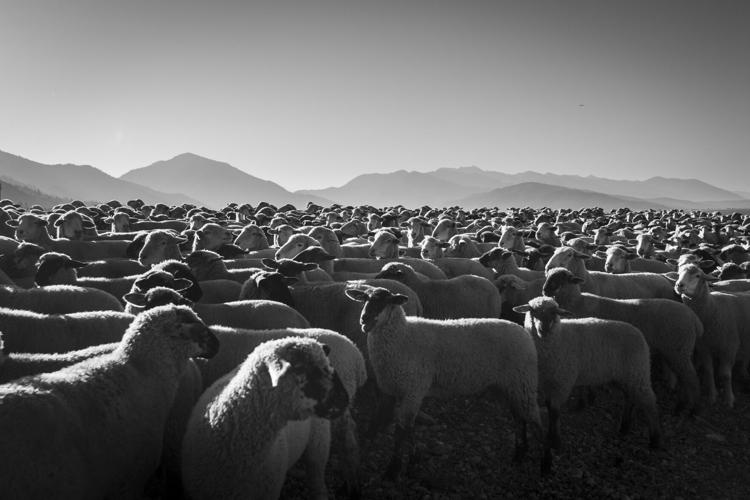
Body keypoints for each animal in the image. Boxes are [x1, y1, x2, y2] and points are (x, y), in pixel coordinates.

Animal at [345, 285, 543, 477]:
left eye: (386, 302)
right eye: (365, 299)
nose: (364, 318)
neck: (403, 335)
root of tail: (524, 333)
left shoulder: (413, 389)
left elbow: (402, 430)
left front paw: (394, 469)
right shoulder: (394, 390)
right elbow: (408, 429)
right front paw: (412, 460)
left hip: (523, 381)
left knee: (535, 421)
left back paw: (544, 463)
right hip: (508, 386)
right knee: (519, 418)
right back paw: (519, 455)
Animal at [513, 297, 661, 469]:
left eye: (554, 313)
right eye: (533, 311)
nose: (543, 329)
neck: (557, 339)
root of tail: (639, 333)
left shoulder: (562, 383)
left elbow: (554, 412)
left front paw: (556, 441)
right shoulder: (546, 383)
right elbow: (549, 408)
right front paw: (551, 437)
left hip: (638, 372)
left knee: (650, 402)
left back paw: (655, 440)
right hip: (624, 377)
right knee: (630, 398)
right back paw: (624, 427)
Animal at [542, 267, 702, 412]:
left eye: (560, 279)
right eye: (548, 276)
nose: (545, 291)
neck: (576, 302)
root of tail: (694, 318)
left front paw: (584, 401)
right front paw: (591, 396)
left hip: (679, 350)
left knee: (692, 378)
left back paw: (692, 409)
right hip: (675, 351)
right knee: (685, 378)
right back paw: (681, 403)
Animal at [672, 263, 750, 408]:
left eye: (697, 275)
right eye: (679, 273)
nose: (679, 285)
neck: (713, 308)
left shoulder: (729, 348)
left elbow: (725, 375)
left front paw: (729, 399)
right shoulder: (704, 347)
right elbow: (708, 371)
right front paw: (712, 396)